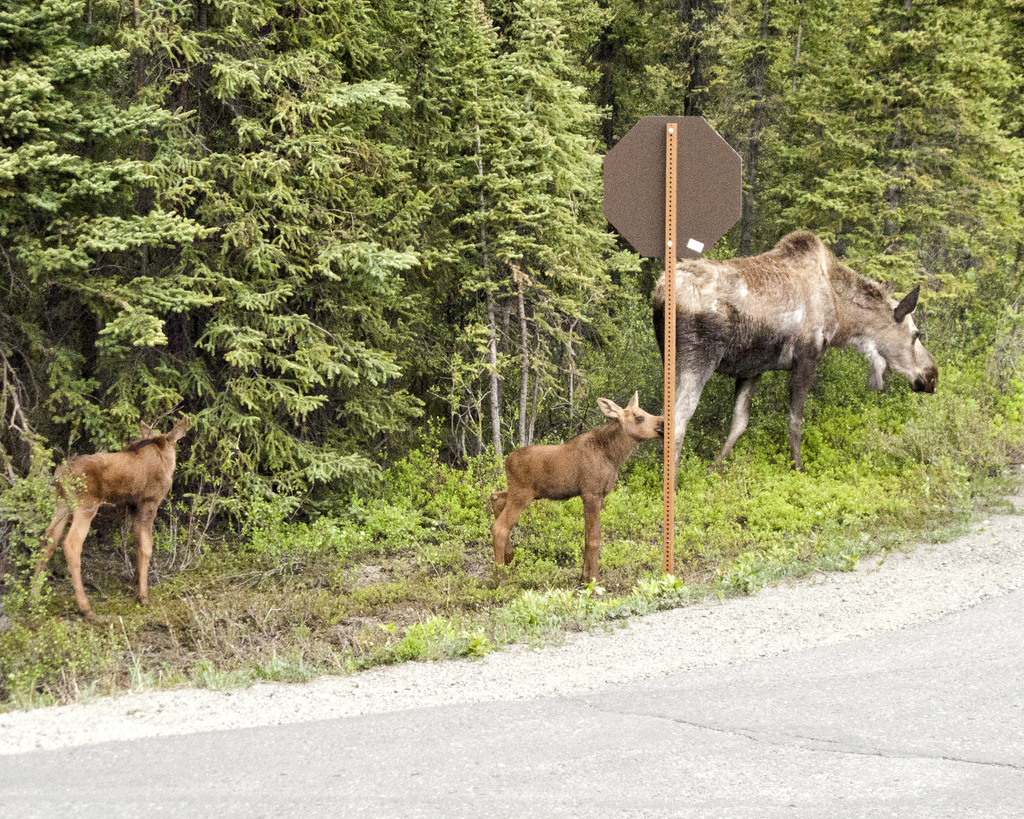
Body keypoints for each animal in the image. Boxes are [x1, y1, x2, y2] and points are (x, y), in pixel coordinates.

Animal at [34, 416, 189, 618]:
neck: (164, 456)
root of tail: (61, 473)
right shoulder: (148, 502)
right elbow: (147, 547)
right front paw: (143, 597)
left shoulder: (133, 507)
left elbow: (137, 543)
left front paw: (136, 582)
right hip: (85, 506)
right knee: (70, 543)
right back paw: (86, 608)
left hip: (62, 505)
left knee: (47, 539)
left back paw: (34, 597)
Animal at [490, 393, 663, 582]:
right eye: (639, 418)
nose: (662, 423)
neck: (614, 456)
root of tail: (507, 461)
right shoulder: (591, 493)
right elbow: (593, 539)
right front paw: (592, 580)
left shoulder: (600, 496)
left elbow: (588, 537)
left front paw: (584, 576)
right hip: (521, 495)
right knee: (499, 527)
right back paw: (499, 576)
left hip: (519, 492)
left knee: (495, 498)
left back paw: (508, 557)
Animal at [653, 230, 938, 484]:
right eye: (915, 334)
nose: (932, 375)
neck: (842, 317)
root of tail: (659, 295)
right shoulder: (807, 357)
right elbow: (795, 422)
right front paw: (798, 468)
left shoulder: (752, 369)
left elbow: (739, 423)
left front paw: (713, 470)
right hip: (697, 361)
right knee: (678, 421)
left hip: (670, 360)